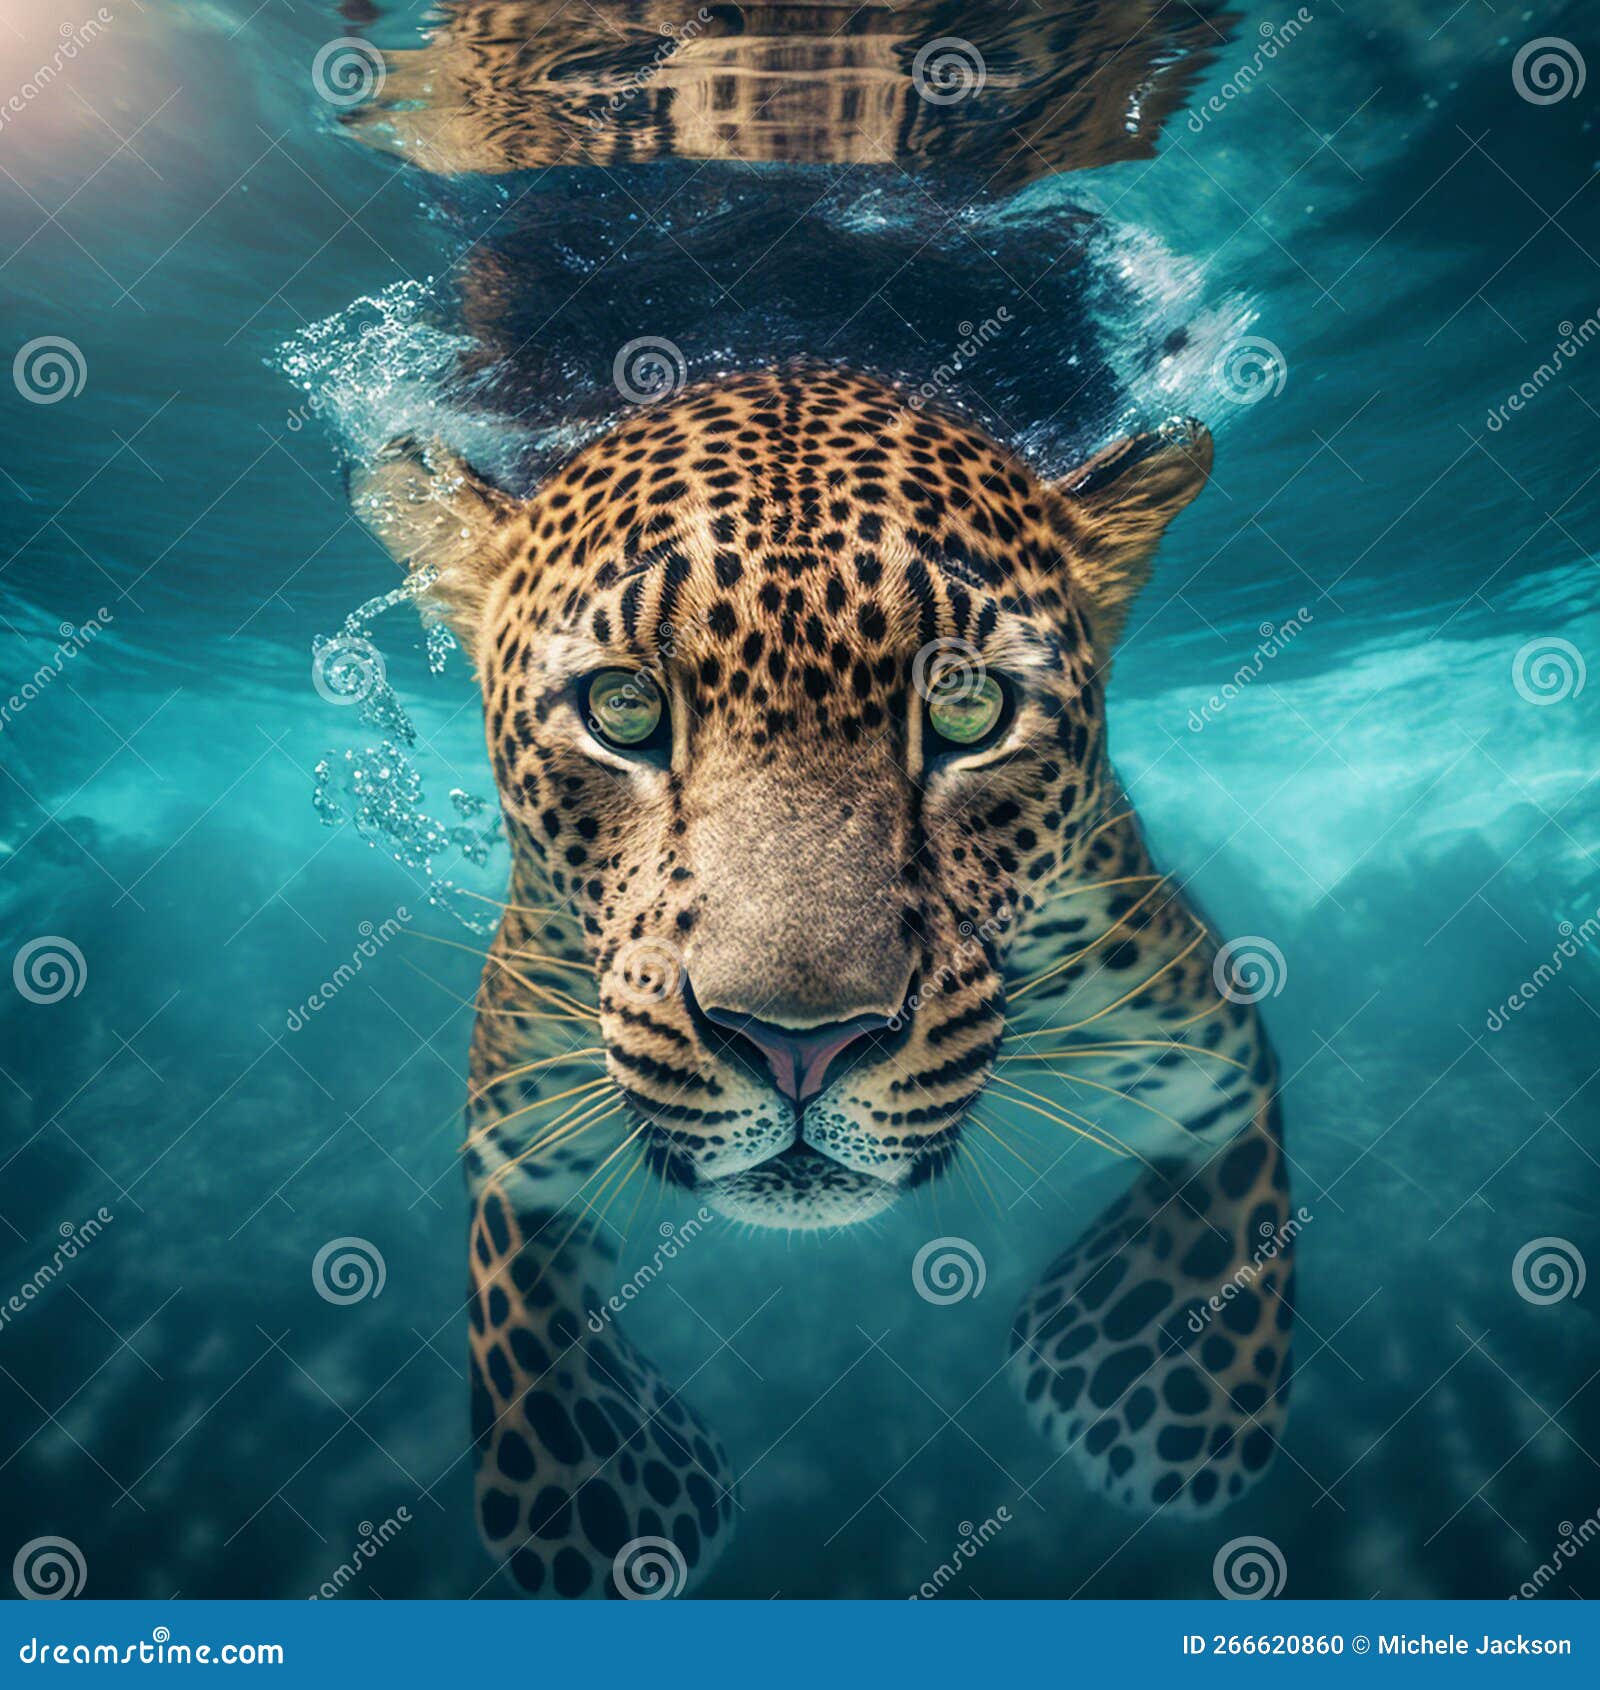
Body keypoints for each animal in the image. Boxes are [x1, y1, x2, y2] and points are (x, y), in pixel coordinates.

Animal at [350, 362, 1296, 1599]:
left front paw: (1152, 1378)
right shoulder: (518, 1108)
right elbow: (521, 1309)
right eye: (622, 710)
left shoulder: (1197, 1028)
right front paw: (603, 1496)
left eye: (965, 708)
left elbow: (1238, 1174)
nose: (799, 1043)